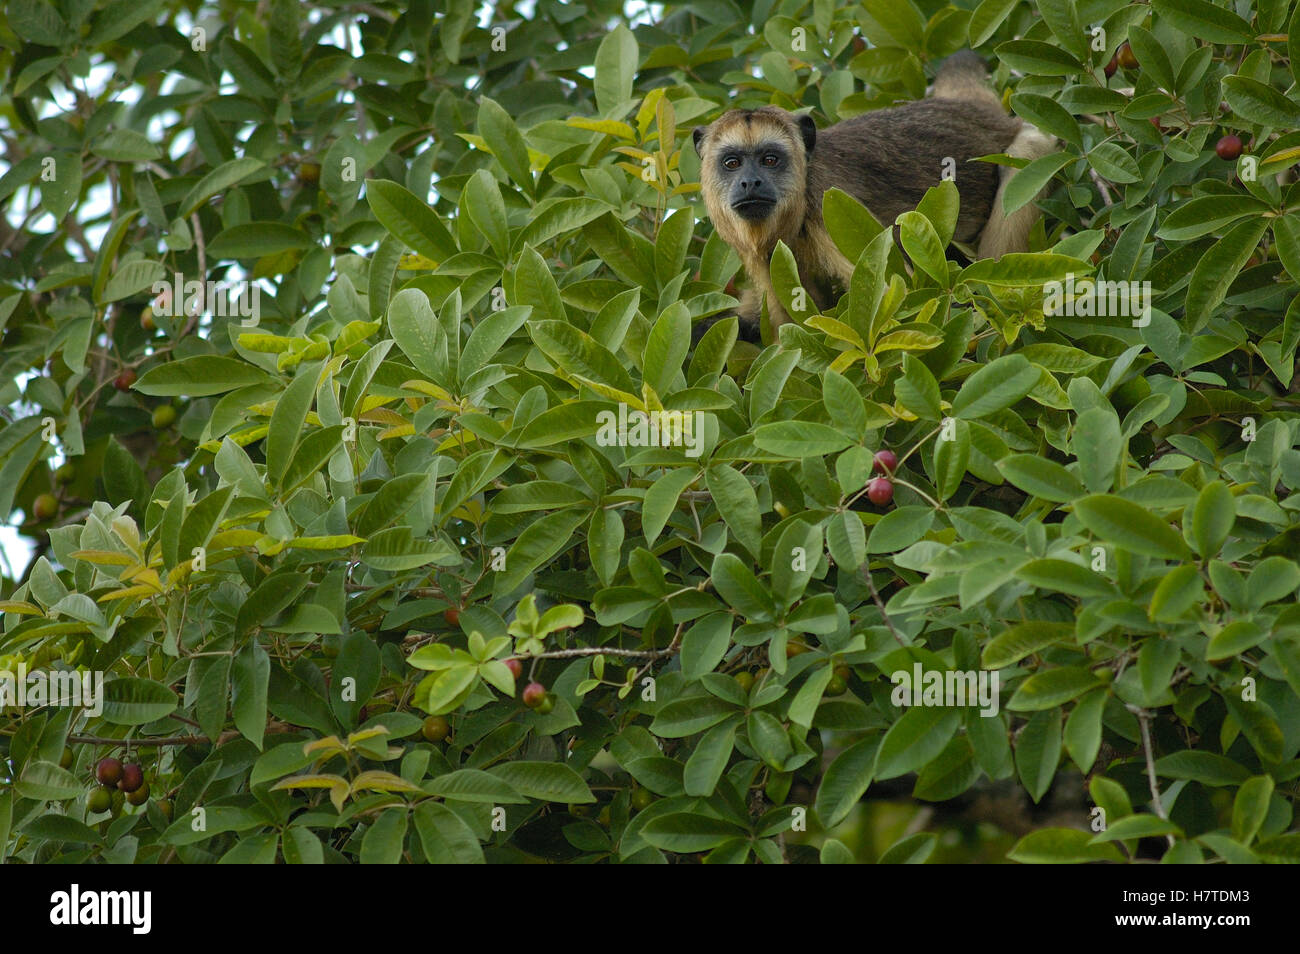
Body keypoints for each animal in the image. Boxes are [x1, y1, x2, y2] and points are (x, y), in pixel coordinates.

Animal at [692, 51, 1057, 342]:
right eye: (732, 163)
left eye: (770, 159)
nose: (750, 182)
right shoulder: (766, 256)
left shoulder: (832, 203)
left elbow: (909, 305)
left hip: (1030, 151)